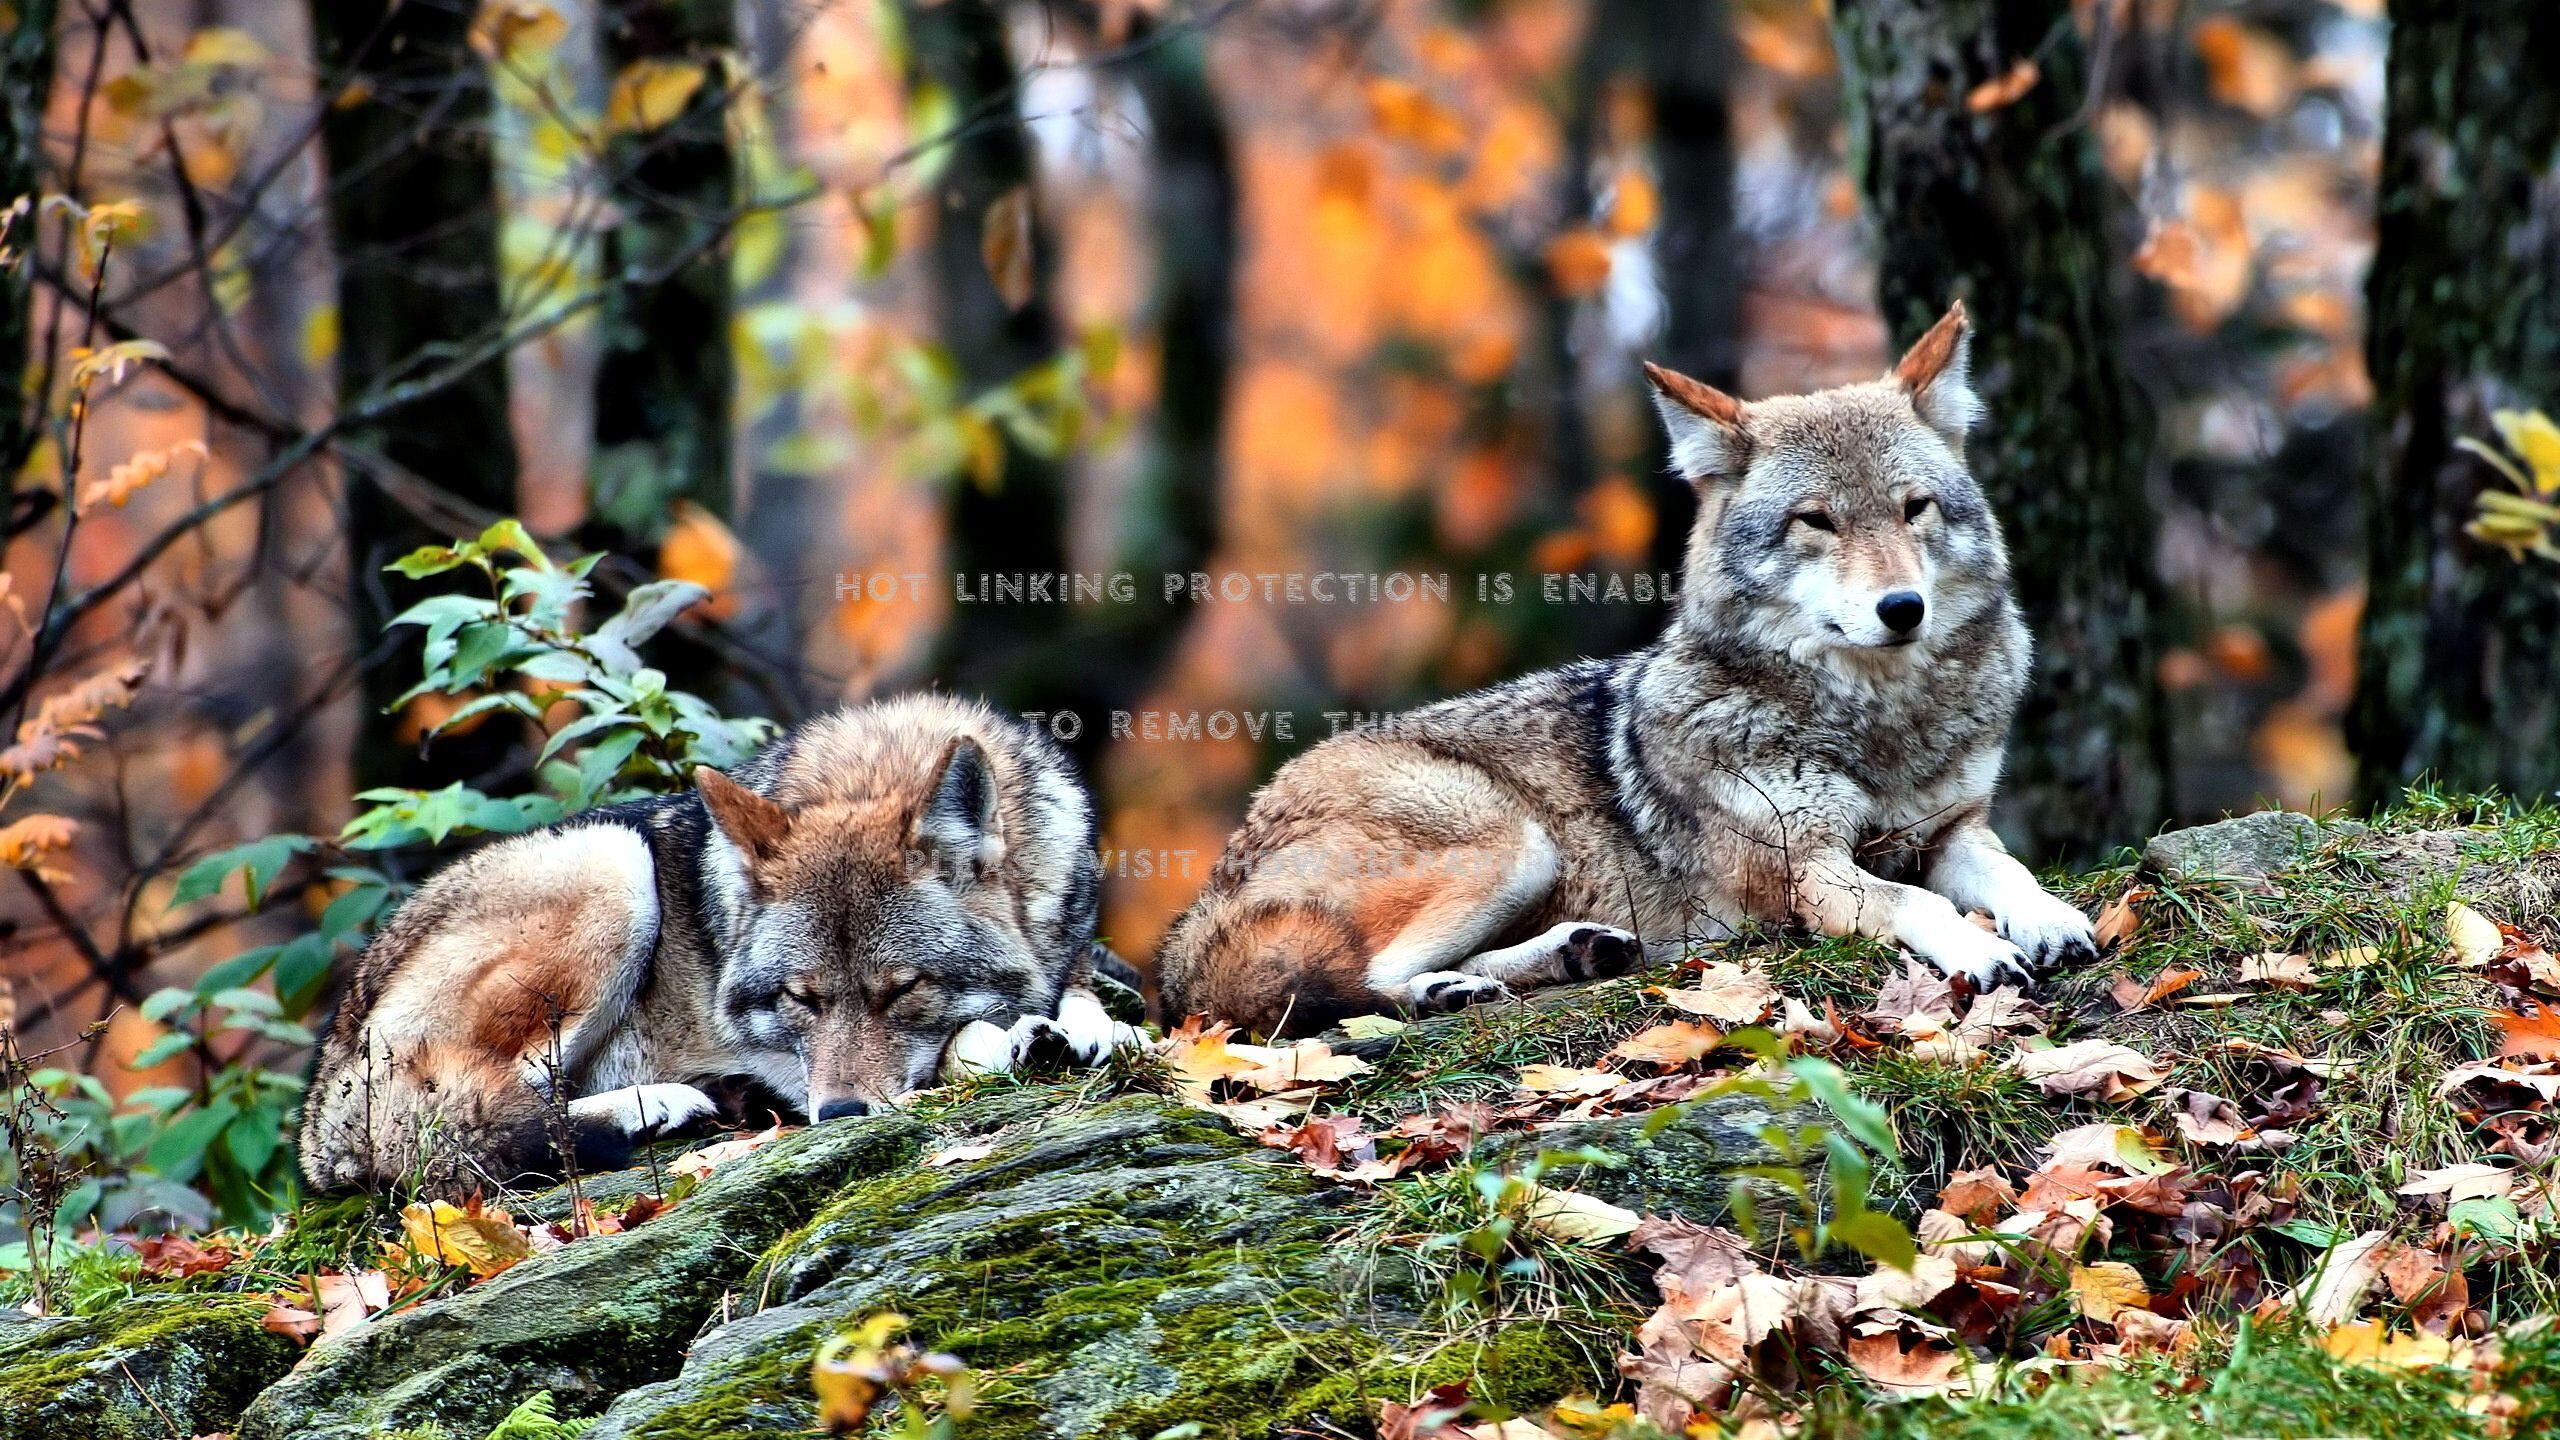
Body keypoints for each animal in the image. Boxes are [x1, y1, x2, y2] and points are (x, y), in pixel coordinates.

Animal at [301, 694, 1139, 1192]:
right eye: (801, 998)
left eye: (902, 989)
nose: (839, 1115)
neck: (875, 766)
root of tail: (321, 1106)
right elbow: (963, 1044)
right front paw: (1014, 1039)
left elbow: (1083, 994)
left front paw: (1089, 1026)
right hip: (612, 866)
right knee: (461, 1120)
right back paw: (657, 1105)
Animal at [1157, 302, 2098, 1037]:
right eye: (1817, 521)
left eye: (1914, 509)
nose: (1904, 608)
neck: (1877, 725)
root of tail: (1199, 908)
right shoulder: (1808, 869)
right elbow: (1920, 904)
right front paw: (1981, 947)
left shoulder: (1951, 830)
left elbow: (2009, 872)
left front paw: (2051, 921)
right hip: (1510, 841)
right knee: (1367, 981)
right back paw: (1449, 989)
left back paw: (1572, 952)